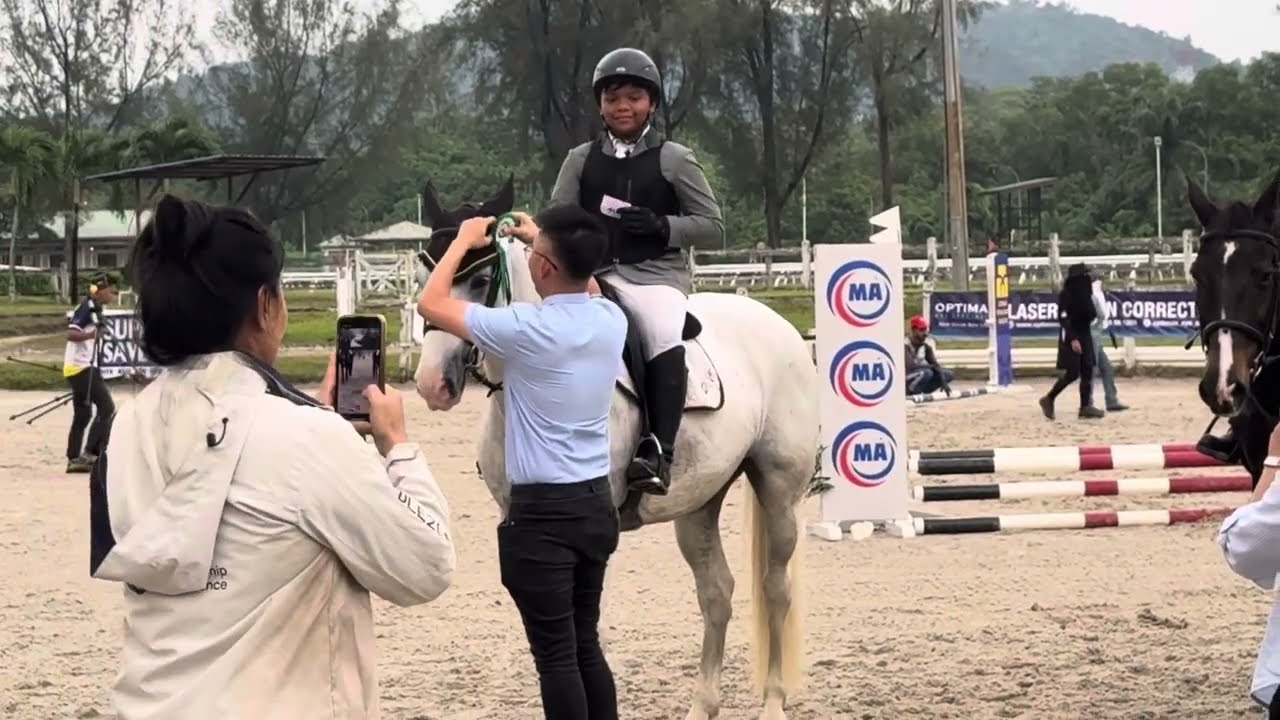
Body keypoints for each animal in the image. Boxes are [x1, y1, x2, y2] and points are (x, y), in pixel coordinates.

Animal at [410, 177, 817, 720]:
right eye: (424, 274)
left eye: (478, 282)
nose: (432, 383)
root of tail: (776, 324)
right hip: (699, 500)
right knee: (717, 593)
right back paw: (702, 705)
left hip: (779, 492)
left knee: (776, 588)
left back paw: (773, 701)